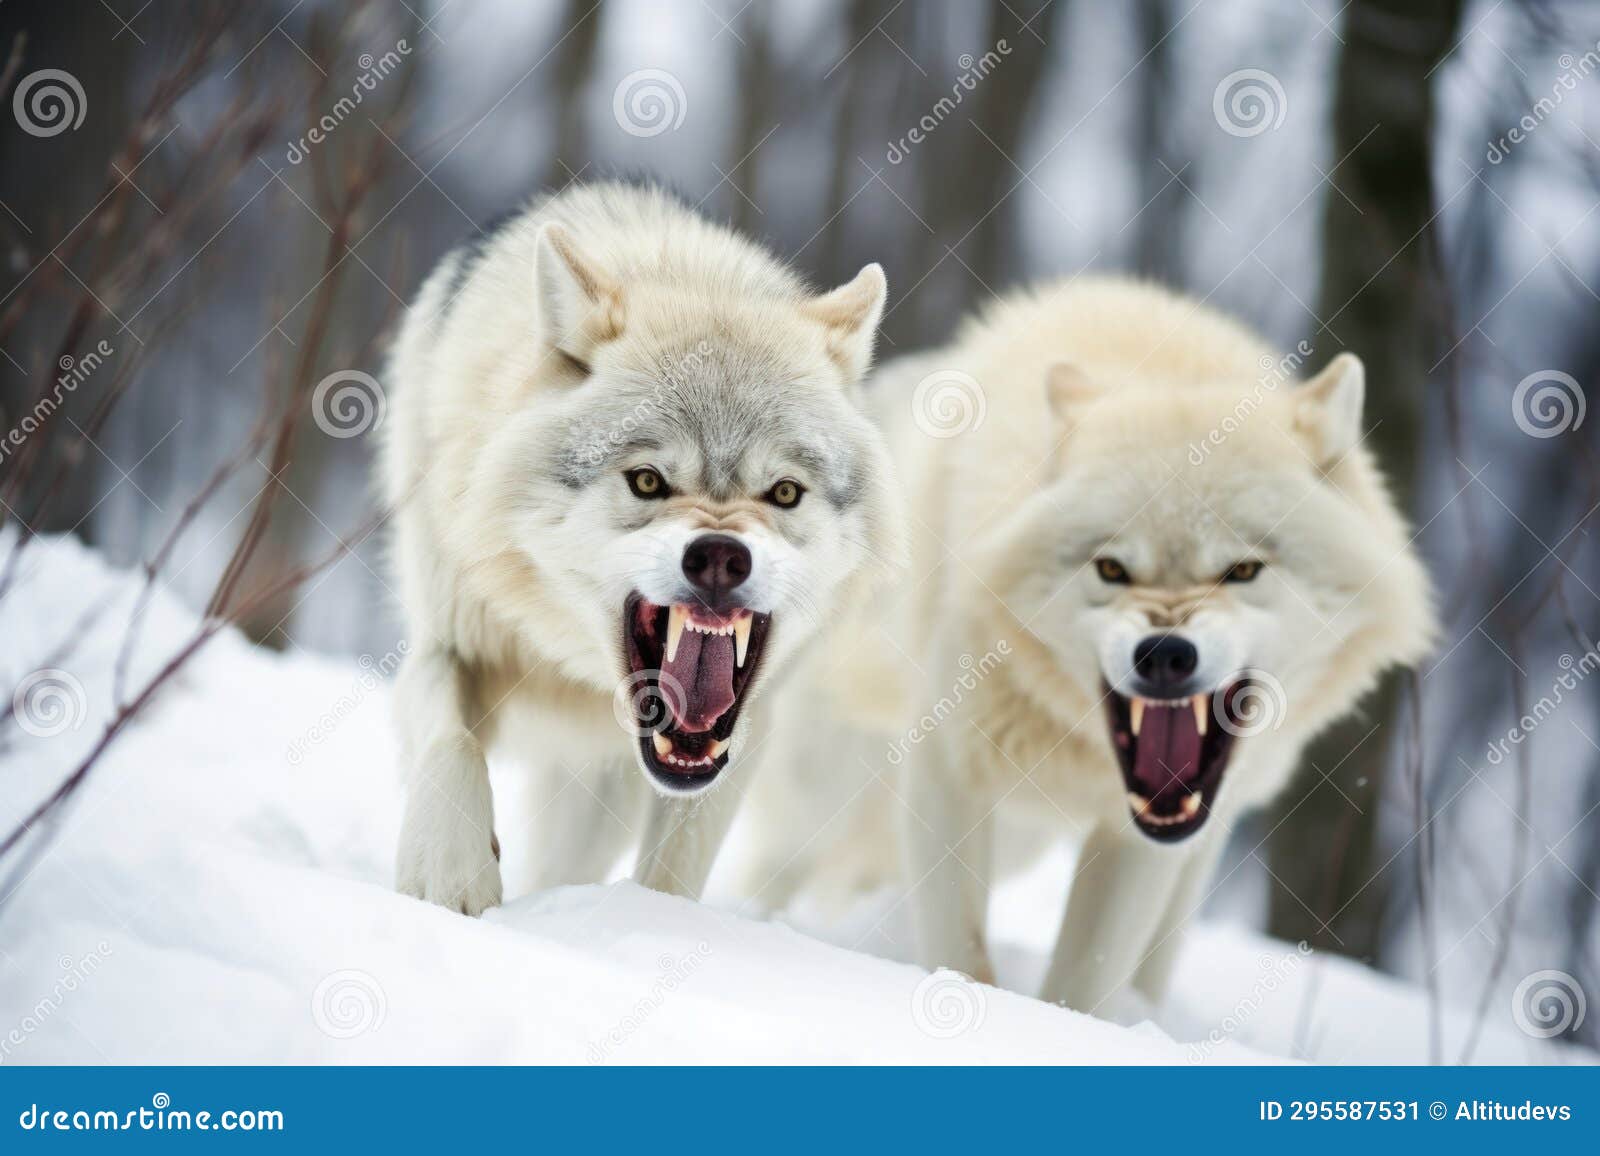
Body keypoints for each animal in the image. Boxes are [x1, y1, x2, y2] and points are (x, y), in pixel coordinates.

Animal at [380, 182, 903, 915]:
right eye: (649, 480)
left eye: (784, 492)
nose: (720, 557)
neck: (570, 665)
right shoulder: (443, 640)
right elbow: (449, 741)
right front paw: (450, 881)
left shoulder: (743, 732)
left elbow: (671, 874)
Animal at [736, 276, 1434, 1014]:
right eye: (1112, 569)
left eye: (1242, 570)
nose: (1165, 654)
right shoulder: (946, 768)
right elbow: (963, 950)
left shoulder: (1151, 835)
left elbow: (1086, 978)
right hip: (831, 792)